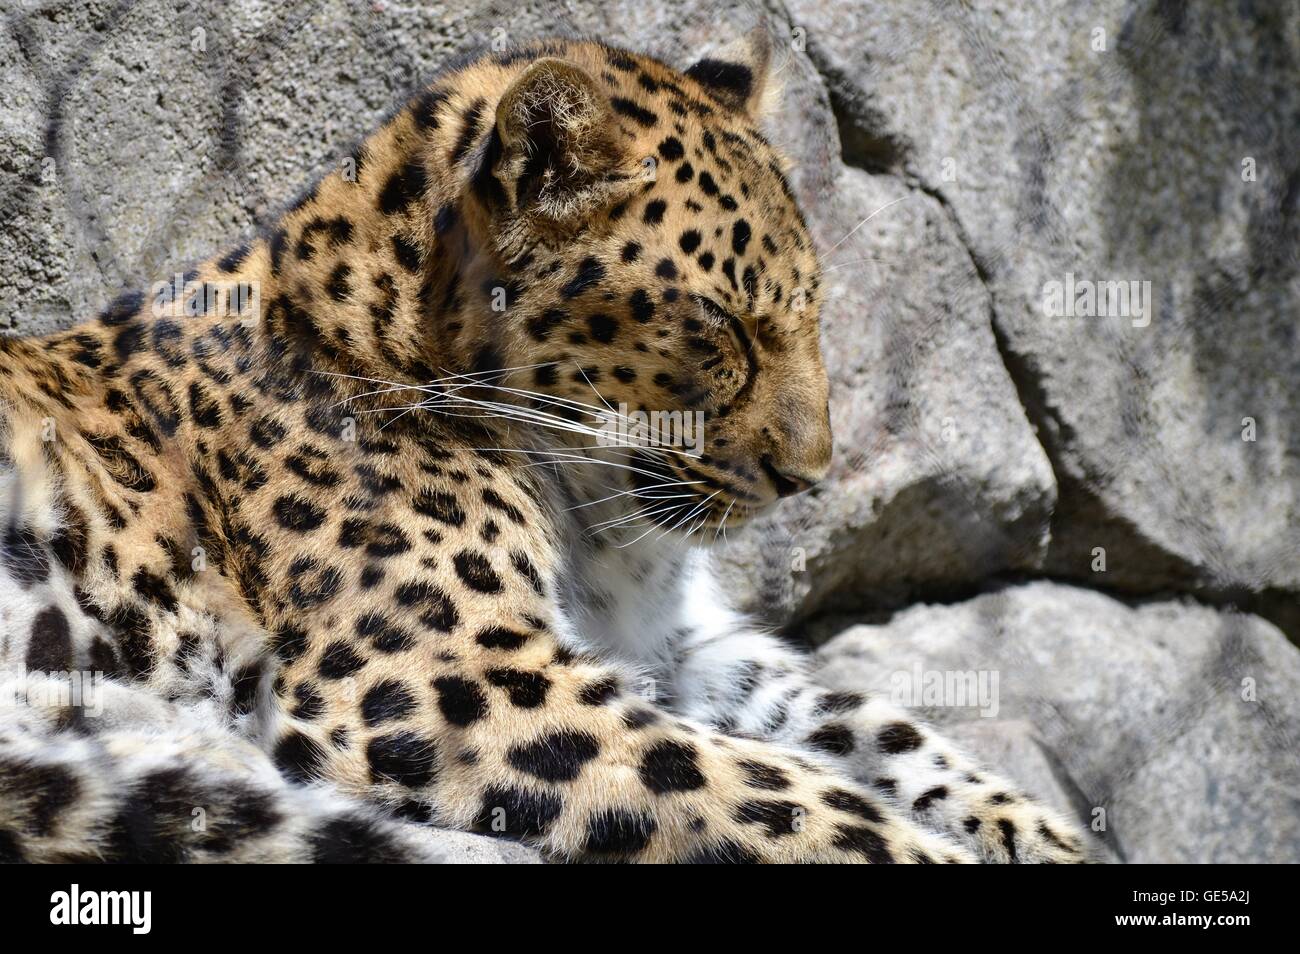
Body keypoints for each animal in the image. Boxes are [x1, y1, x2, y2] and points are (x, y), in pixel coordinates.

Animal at [0, 27, 1093, 863]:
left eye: (814, 311)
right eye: (721, 326)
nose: (808, 476)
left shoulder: (683, 646)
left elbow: (874, 728)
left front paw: (1042, 836)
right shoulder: (449, 676)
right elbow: (775, 790)